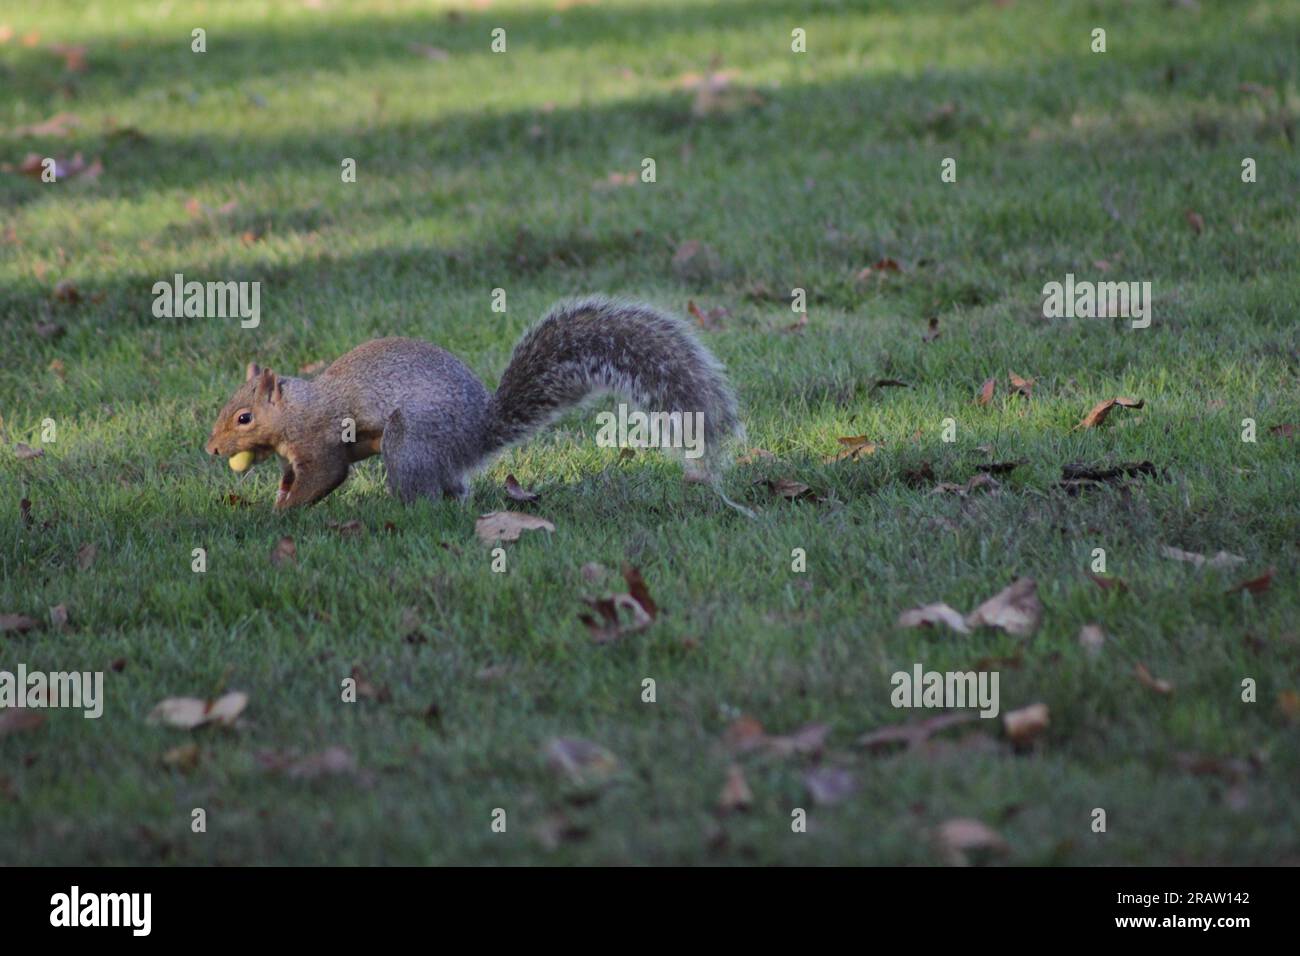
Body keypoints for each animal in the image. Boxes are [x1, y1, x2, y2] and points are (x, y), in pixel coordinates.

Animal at [206, 296, 752, 513]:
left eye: (244, 417)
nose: (211, 449)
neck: (295, 409)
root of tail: (476, 433)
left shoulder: (319, 439)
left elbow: (325, 476)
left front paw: (283, 513)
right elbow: (291, 476)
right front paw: (278, 499)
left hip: (410, 437)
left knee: (423, 493)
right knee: (455, 489)